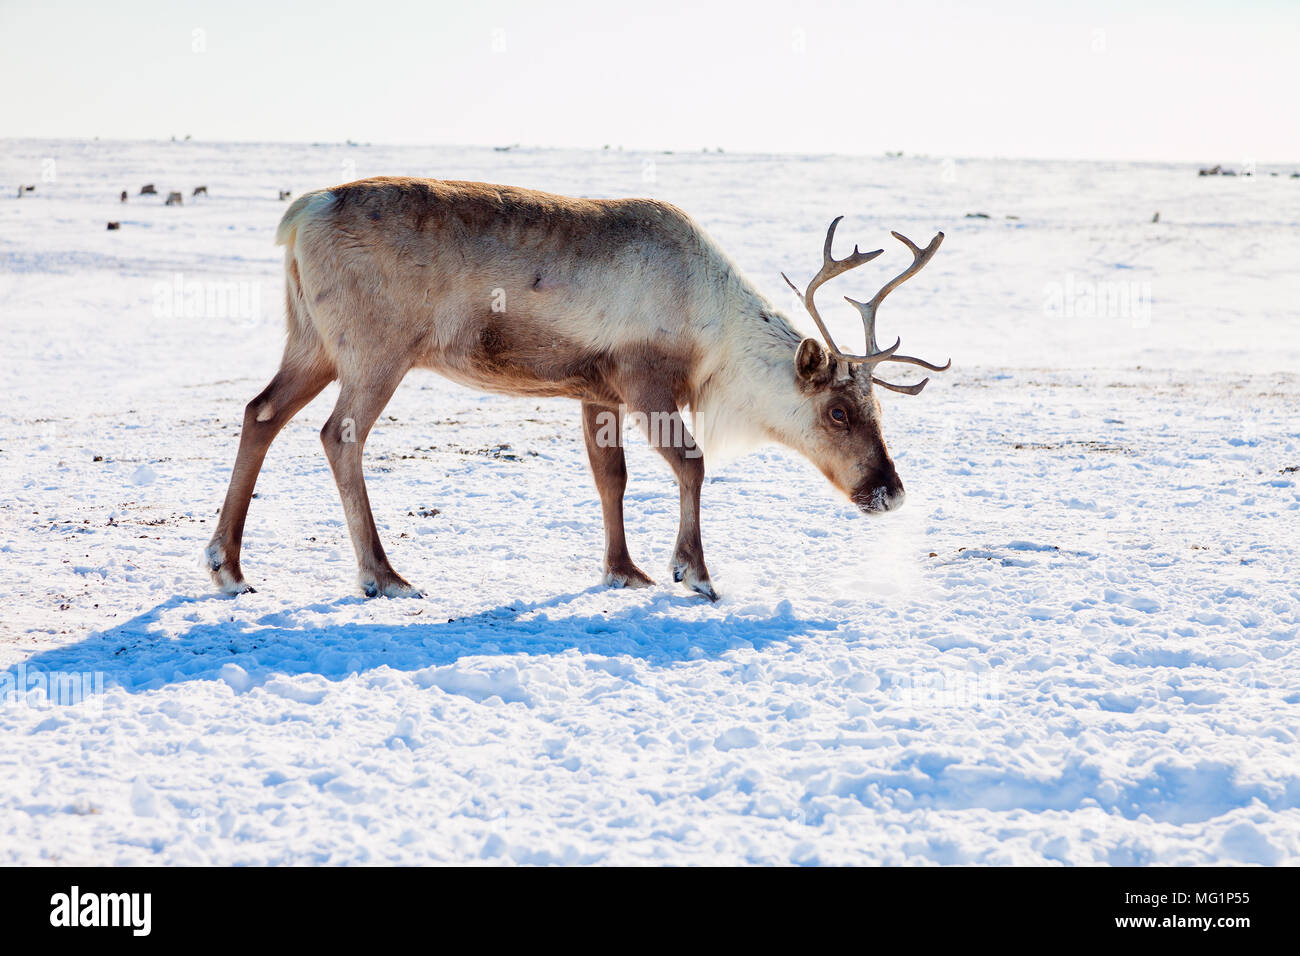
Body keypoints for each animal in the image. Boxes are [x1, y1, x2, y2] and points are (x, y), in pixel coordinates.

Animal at [205, 177, 949, 601]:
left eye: (878, 408)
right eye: (839, 410)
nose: (890, 490)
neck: (714, 341)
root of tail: (301, 213)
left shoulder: (598, 392)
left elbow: (609, 478)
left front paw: (623, 569)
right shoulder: (646, 382)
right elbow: (691, 464)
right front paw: (694, 571)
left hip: (312, 342)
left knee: (260, 412)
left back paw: (229, 567)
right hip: (374, 349)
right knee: (338, 436)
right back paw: (382, 576)